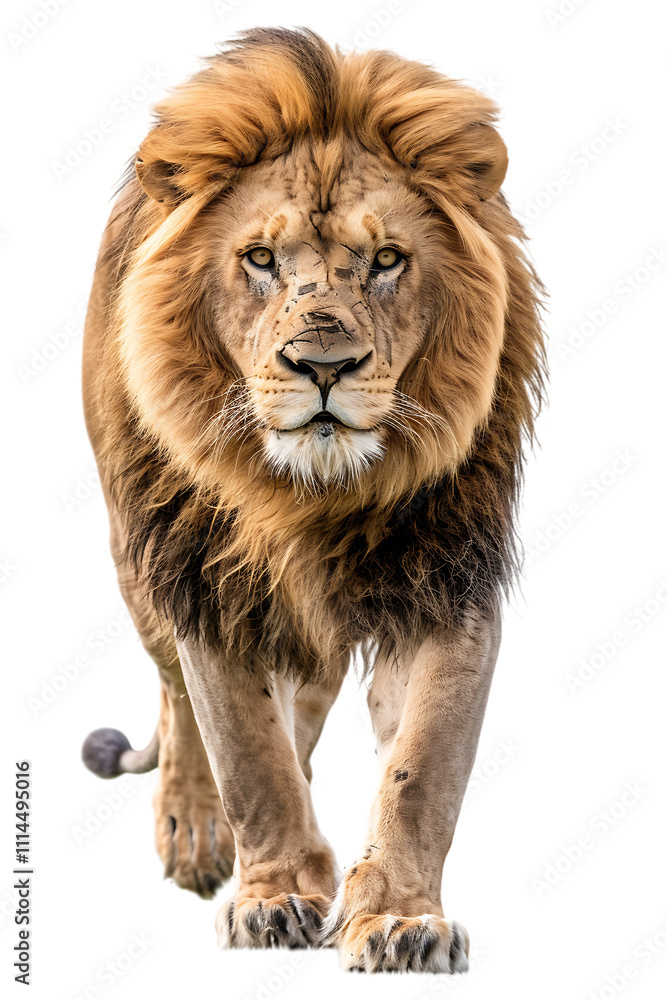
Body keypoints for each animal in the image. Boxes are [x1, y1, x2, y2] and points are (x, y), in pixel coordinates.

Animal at [81, 27, 545, 973]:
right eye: (261, 259)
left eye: (387, 260)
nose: (323, 367)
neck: (313, 497)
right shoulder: (201, 577)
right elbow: (245, 754)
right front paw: (272, 897)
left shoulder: (449, 577)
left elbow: (422, 767)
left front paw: (398, 917)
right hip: (136, 564)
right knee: (180, 700)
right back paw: (197, 832)